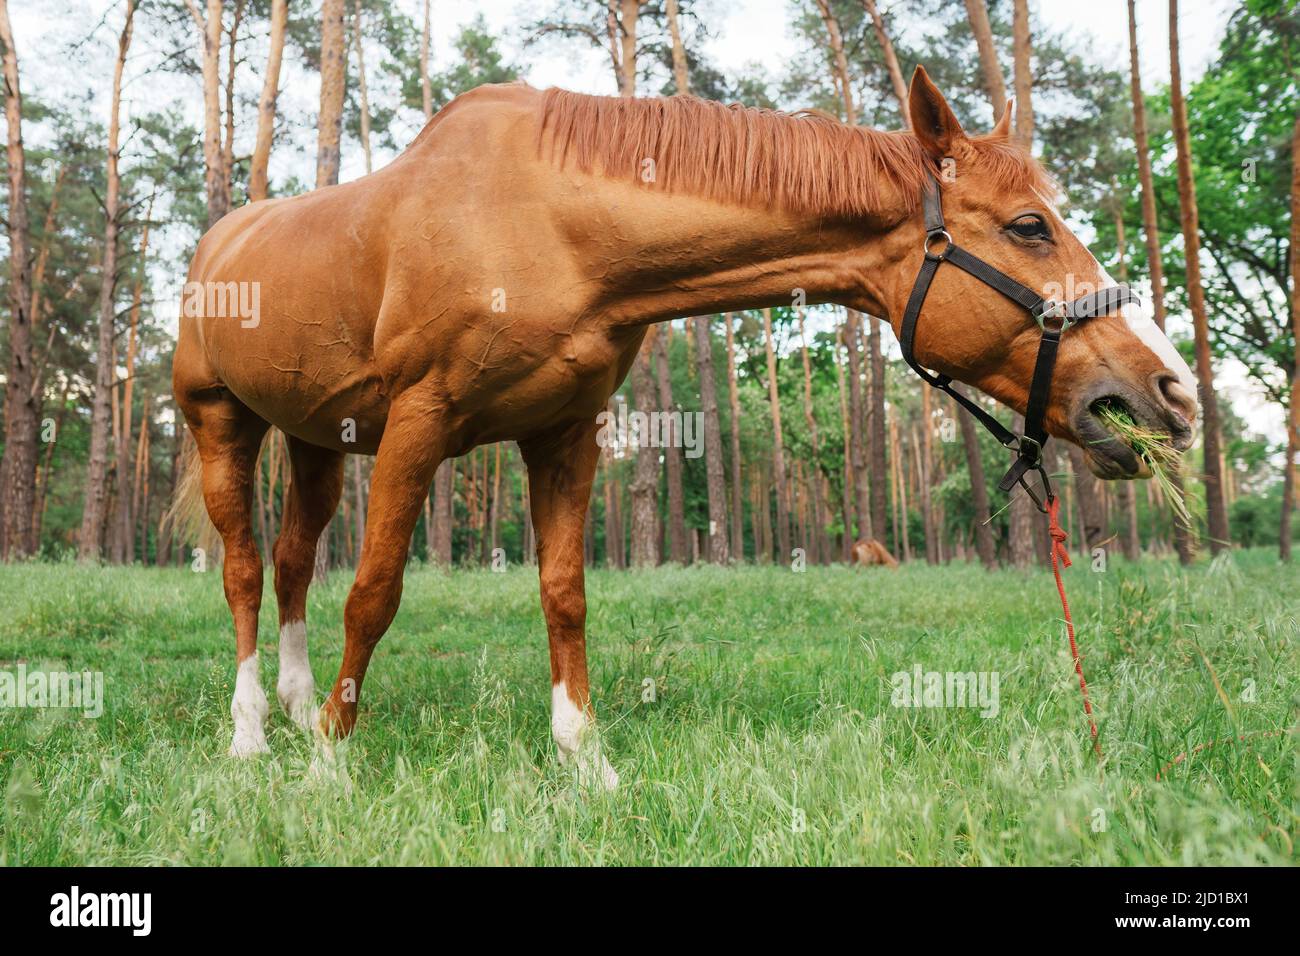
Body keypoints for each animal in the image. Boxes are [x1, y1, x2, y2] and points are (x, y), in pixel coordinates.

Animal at [172, 66, 1198, 789]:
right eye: (1028, 226)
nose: (1172, 395)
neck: (545, 220)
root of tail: (217, 243)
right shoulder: (421, 425)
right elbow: (375, 592)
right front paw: (333, 761)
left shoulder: (565, 434)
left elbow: (564, 595)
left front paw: (587, 761)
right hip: (223, 425)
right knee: (245, 570)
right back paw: (254, 733)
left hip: (318, 440)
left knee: (293, 562)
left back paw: (295, 707)